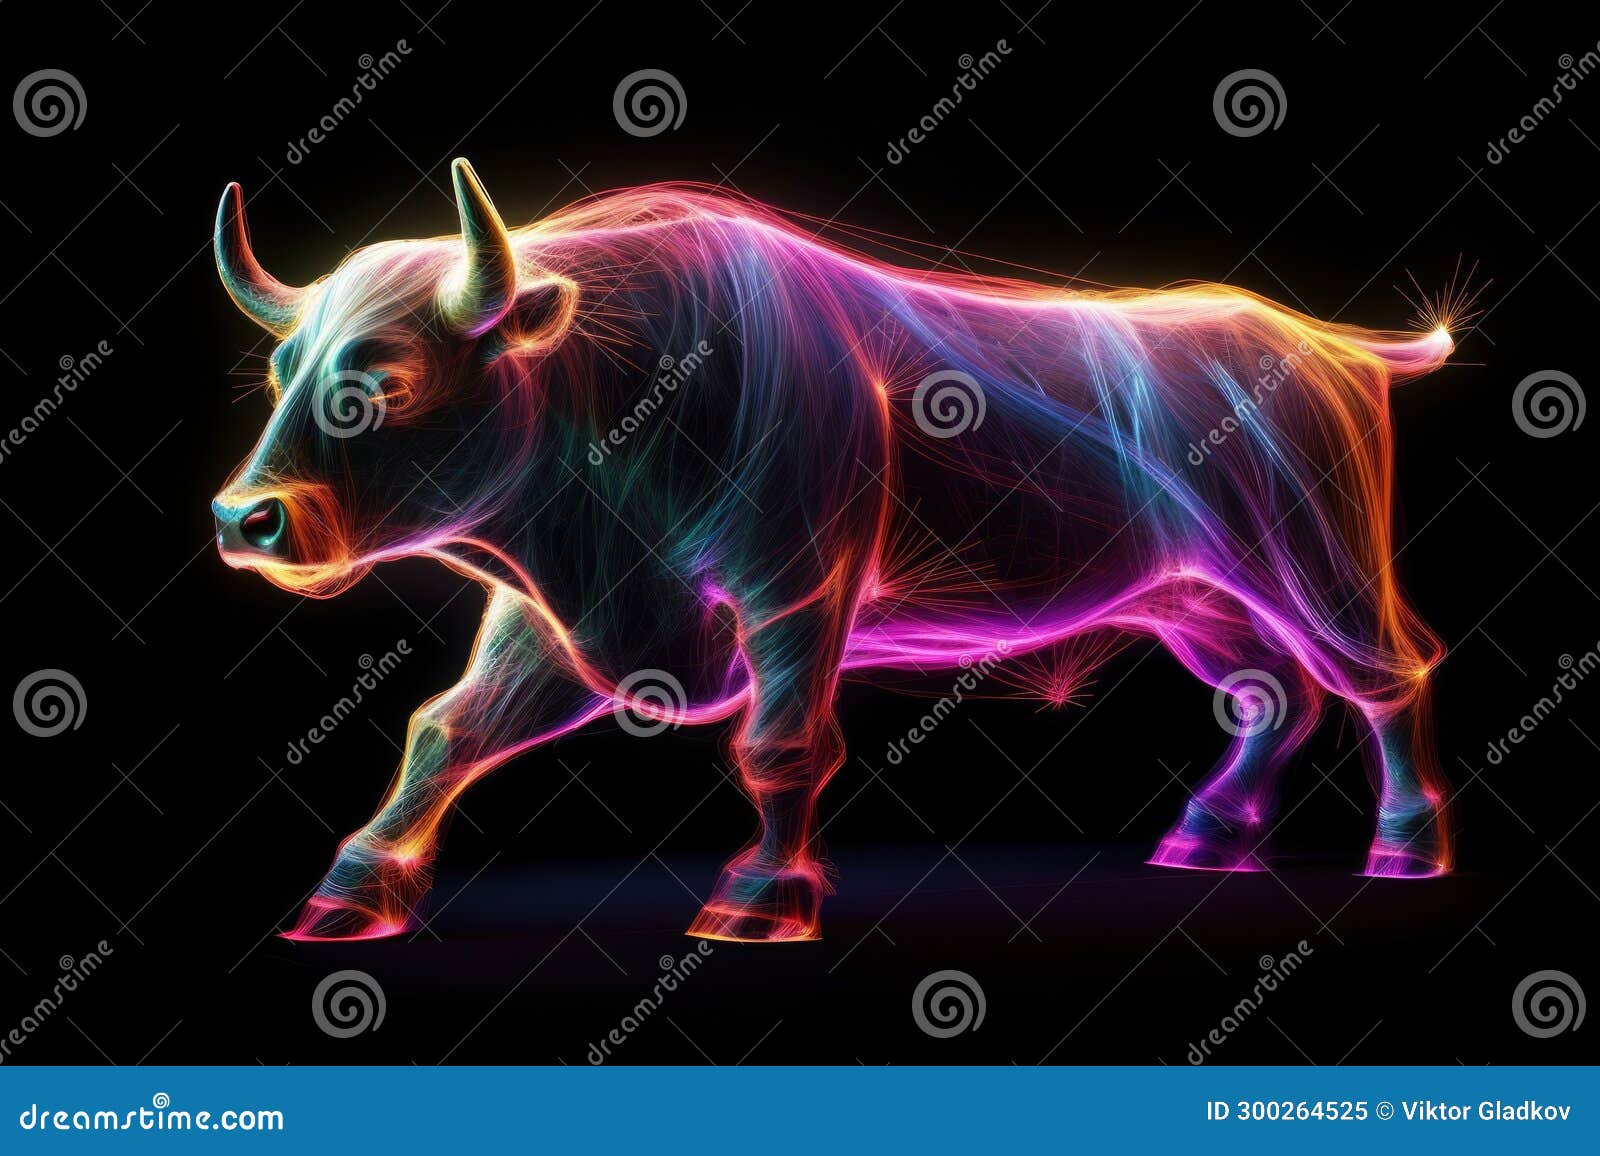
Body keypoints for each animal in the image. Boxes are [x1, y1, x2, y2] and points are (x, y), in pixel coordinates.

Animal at [212, 159, 1453, 942]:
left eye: (379, 382)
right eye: (279, 374)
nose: (241, 519)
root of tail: (1326, 337)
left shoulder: (794, 595)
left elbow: (780, 744)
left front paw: (761, 897)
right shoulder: (560, 616)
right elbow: (447, 728)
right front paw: (349, 892)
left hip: (1318, 559)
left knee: (1382, 674)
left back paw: (1404, 849)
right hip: (1193, 597)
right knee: (1274, 690)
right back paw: (1202, 838)